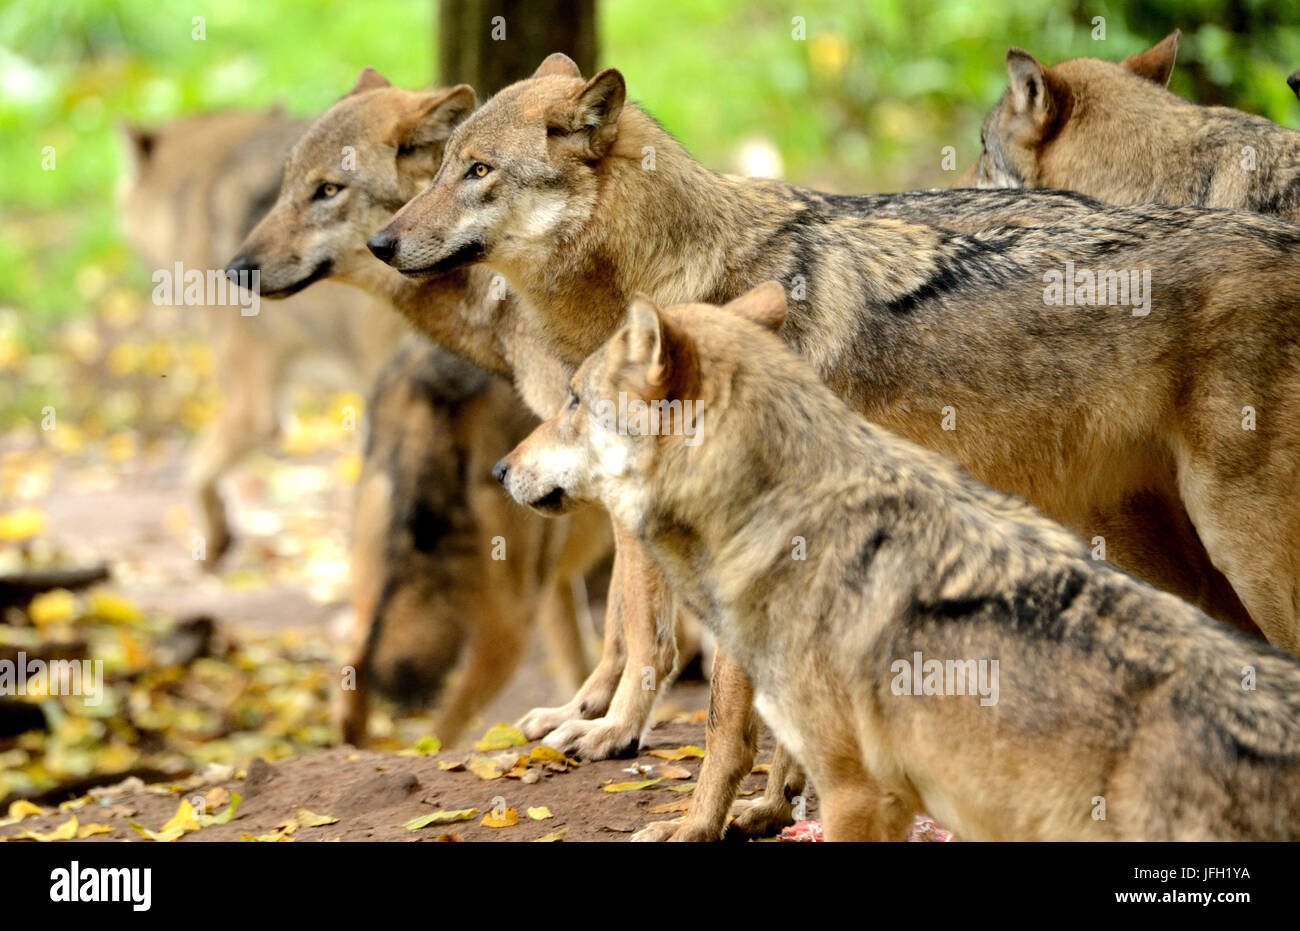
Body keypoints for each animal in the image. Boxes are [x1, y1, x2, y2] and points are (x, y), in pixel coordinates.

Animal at [343, 334, 604, 747]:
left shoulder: (558, 584)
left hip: (375, 596)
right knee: (439, 733)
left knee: (355, 664)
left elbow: (581, 660)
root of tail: (436, 375)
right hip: (510, 626)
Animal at [495, 281, 1300, 841]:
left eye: (573, 401)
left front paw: (698, 825)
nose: (500, 470)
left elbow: (726, 737)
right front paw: (759, 811)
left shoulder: (862, 790)